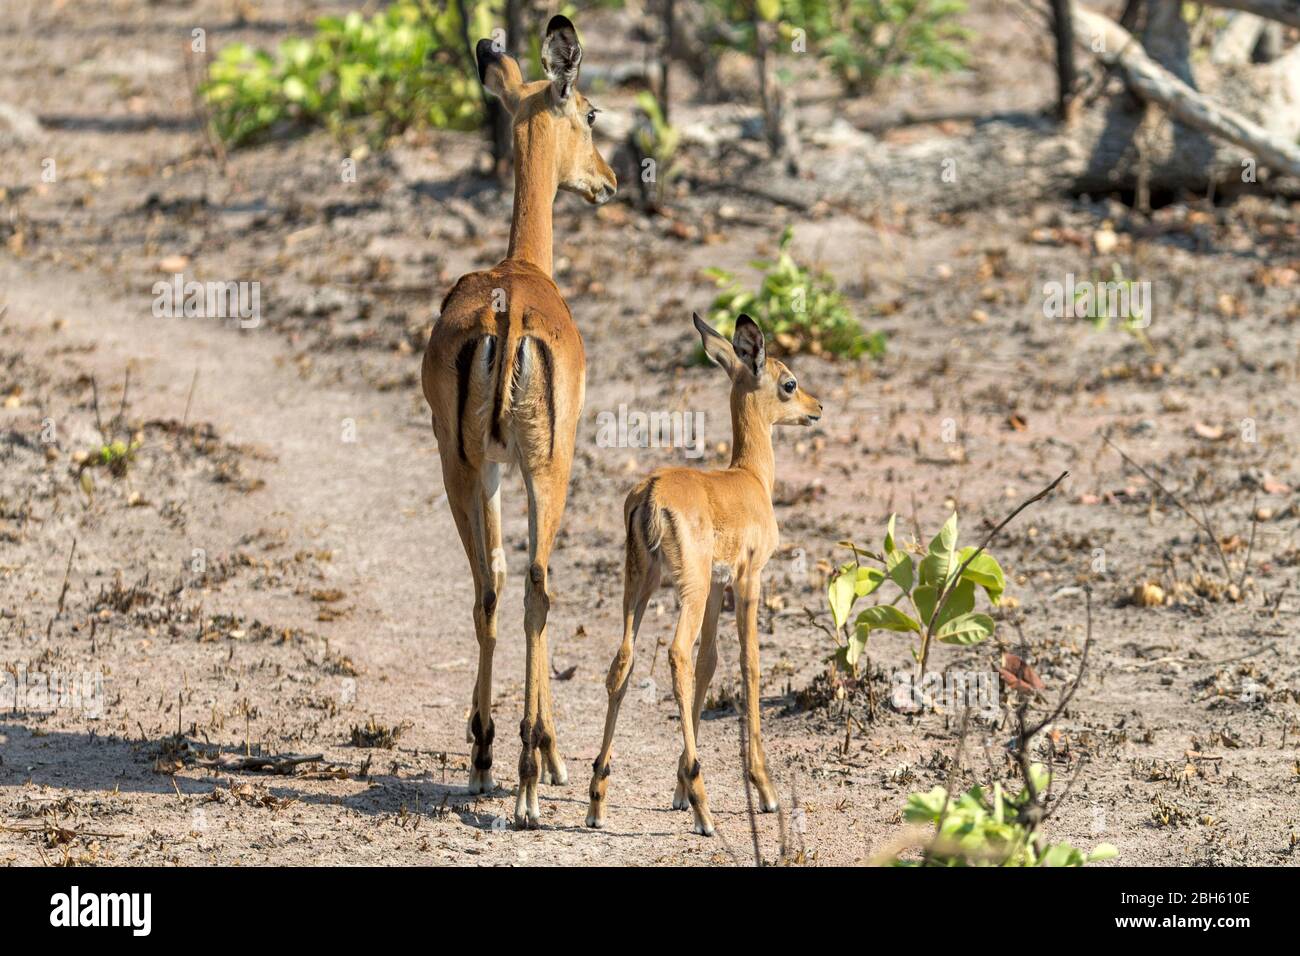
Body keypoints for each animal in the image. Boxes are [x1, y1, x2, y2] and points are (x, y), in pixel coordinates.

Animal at [586, 313, 823, 836]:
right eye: (788, 382)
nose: (817, 407)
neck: (749, 479)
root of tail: (651, 493)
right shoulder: (747, 578)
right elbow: (749, 664)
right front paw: (764, 788)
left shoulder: (717, 586)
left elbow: (710, 662)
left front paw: (676, 789)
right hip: (686, 590)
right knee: (676, 653)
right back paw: (704, 809)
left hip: (640, 585)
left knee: (623, 661)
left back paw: (597, 800)